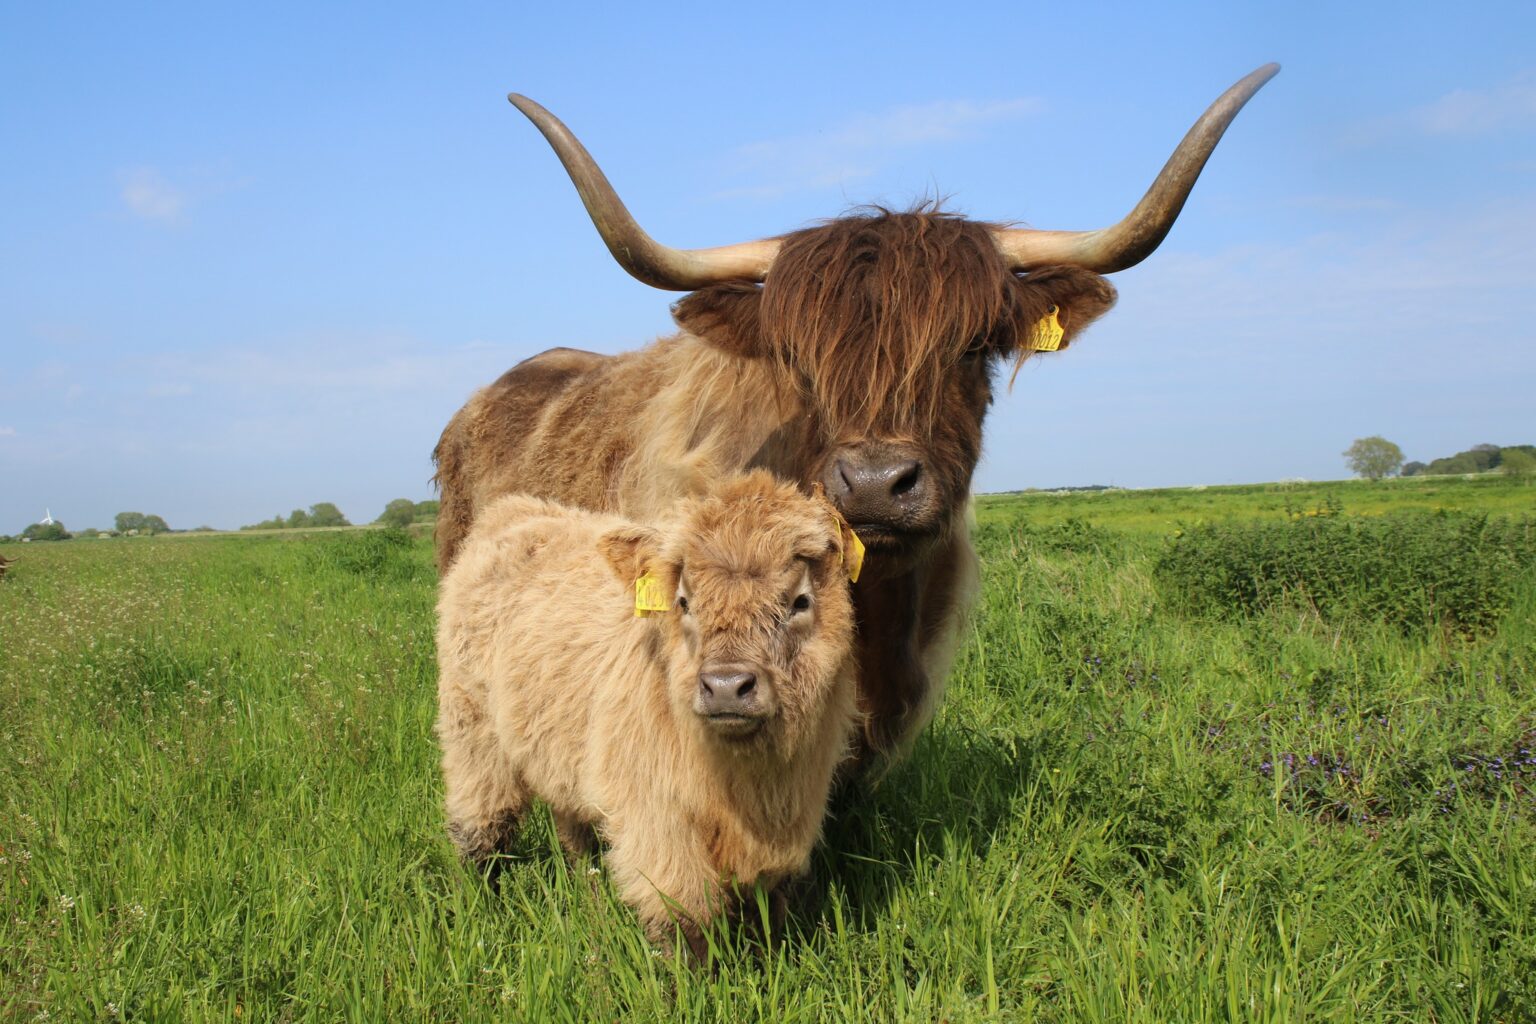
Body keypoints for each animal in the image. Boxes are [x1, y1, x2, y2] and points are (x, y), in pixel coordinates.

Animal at [436, 471, 861, 957]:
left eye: (800, 602)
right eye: (684, 601)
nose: (726, 686)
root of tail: (515, 509)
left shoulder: (795, 809)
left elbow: (764, 912)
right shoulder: (656, 818)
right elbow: (685, 921)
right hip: (472, 730)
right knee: (481, 825)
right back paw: (478, 902)